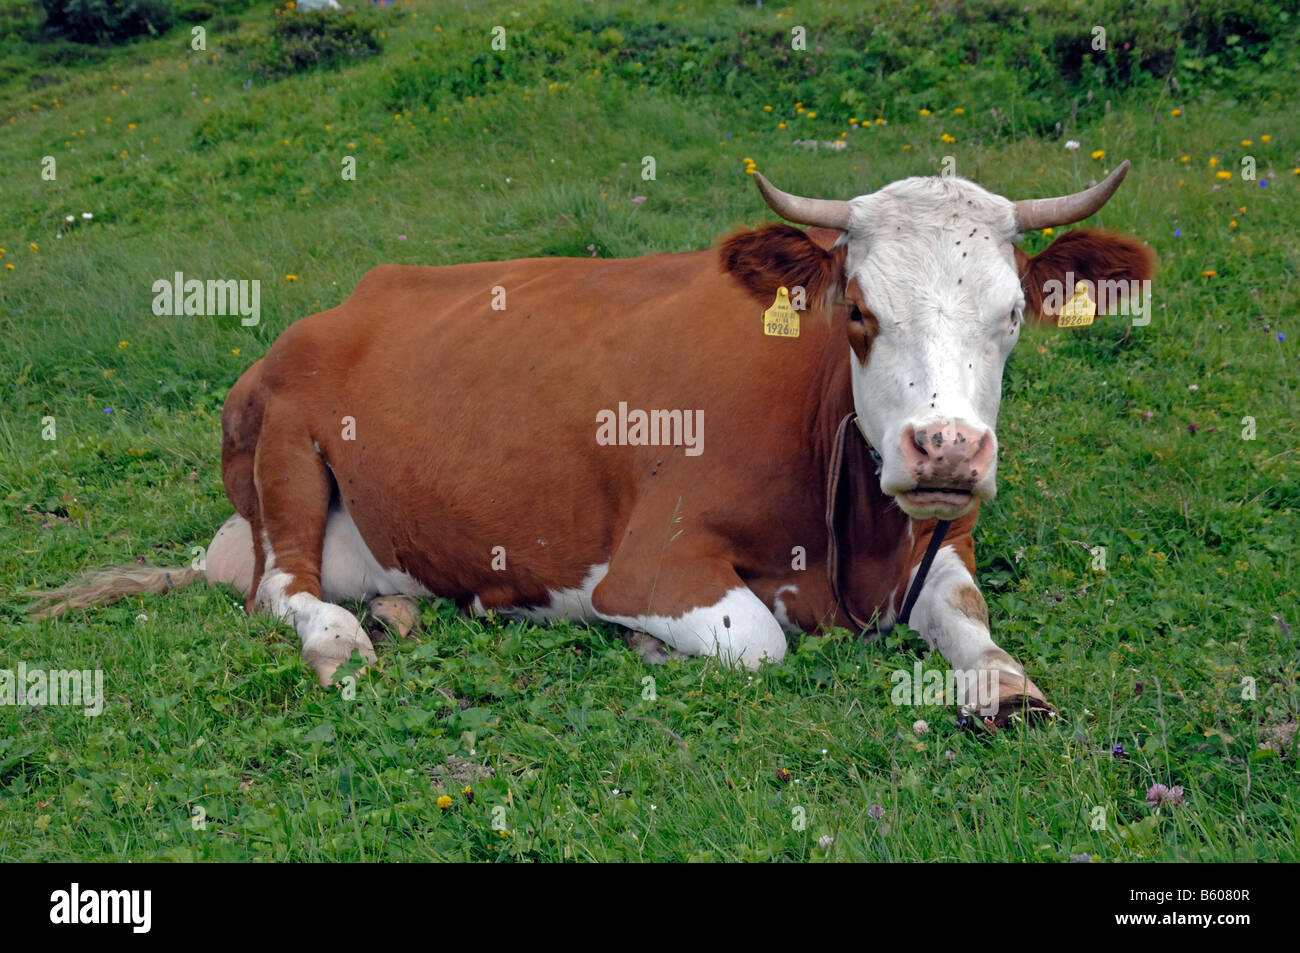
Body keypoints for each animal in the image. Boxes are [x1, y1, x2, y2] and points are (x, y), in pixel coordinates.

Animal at [32, 163, 1153, 726]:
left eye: (1013, 313)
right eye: (861, 311)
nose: (945, 450)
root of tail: (335, 306)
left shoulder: (938, 539)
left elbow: (968, 616)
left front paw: (1002, 681)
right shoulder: (652, 560)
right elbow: (757, 639)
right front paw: (644, 640)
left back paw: (399, 606)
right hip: (285, 457)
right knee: (280, 586)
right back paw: (343, 637)